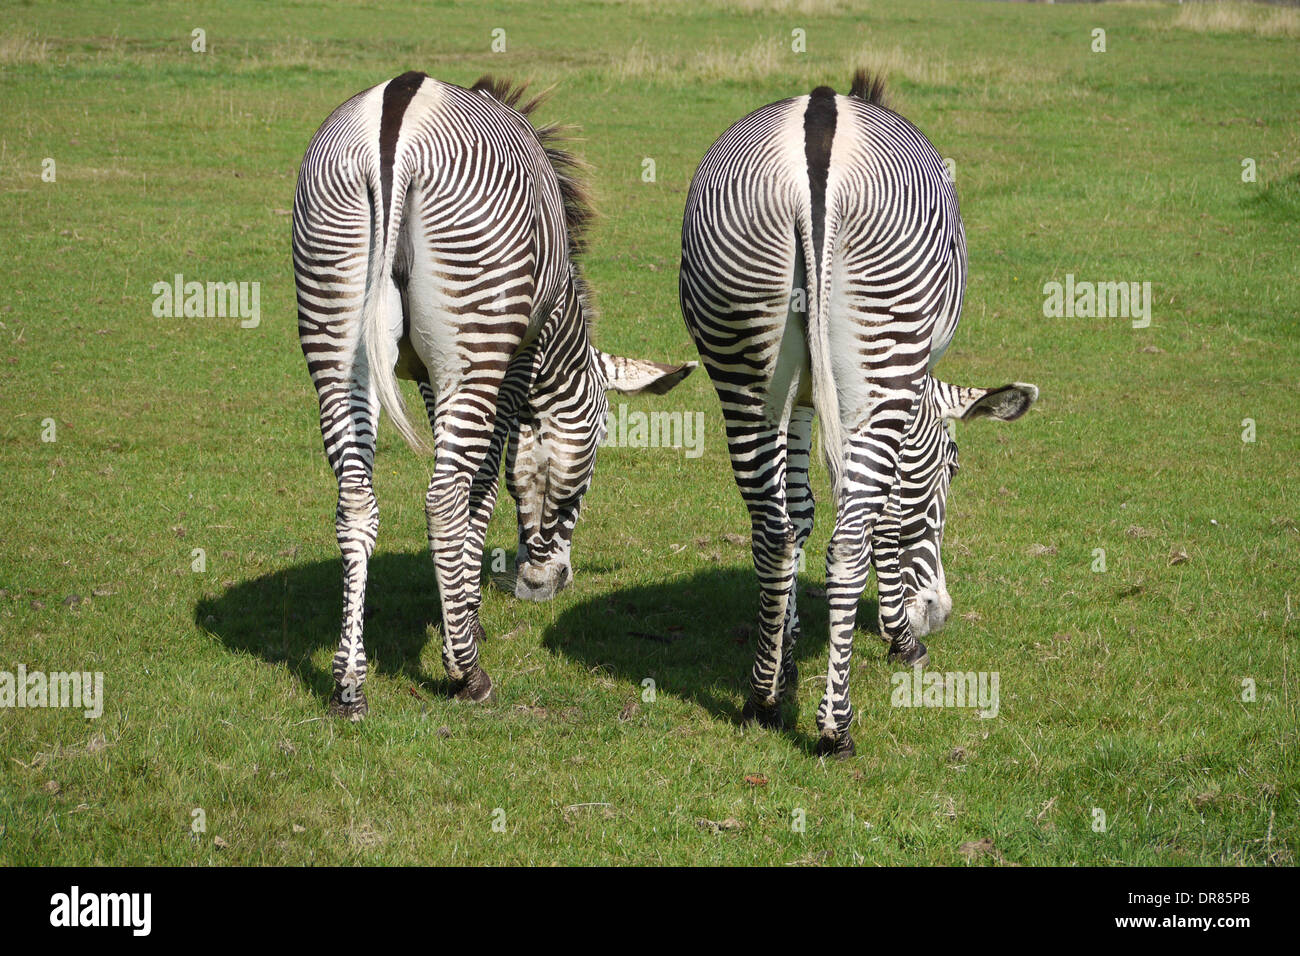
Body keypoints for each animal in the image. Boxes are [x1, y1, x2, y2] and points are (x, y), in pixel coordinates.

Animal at [293, 72, 693, 719]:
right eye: (590, 473)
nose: (545, 587)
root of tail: (396, 118)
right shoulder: (517, 363)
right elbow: (483, 485)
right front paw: (467, 622)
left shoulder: (430, 376)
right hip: (476, 334)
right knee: (445, 498)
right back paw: (468, 674)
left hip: (334, 325)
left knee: (354, 499)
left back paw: (349, 685)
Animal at [679, 71, 1038, 758]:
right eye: (954, 468)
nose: (941, 615)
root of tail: (819, 128)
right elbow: (884, 525)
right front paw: (903, 638)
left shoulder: (800, 404)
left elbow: (799, 515)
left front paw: (786, 655)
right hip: (883, 360)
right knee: (849, 541)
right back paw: (835, 726)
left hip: (743, 364)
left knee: (771, 530)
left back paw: (763, 699)